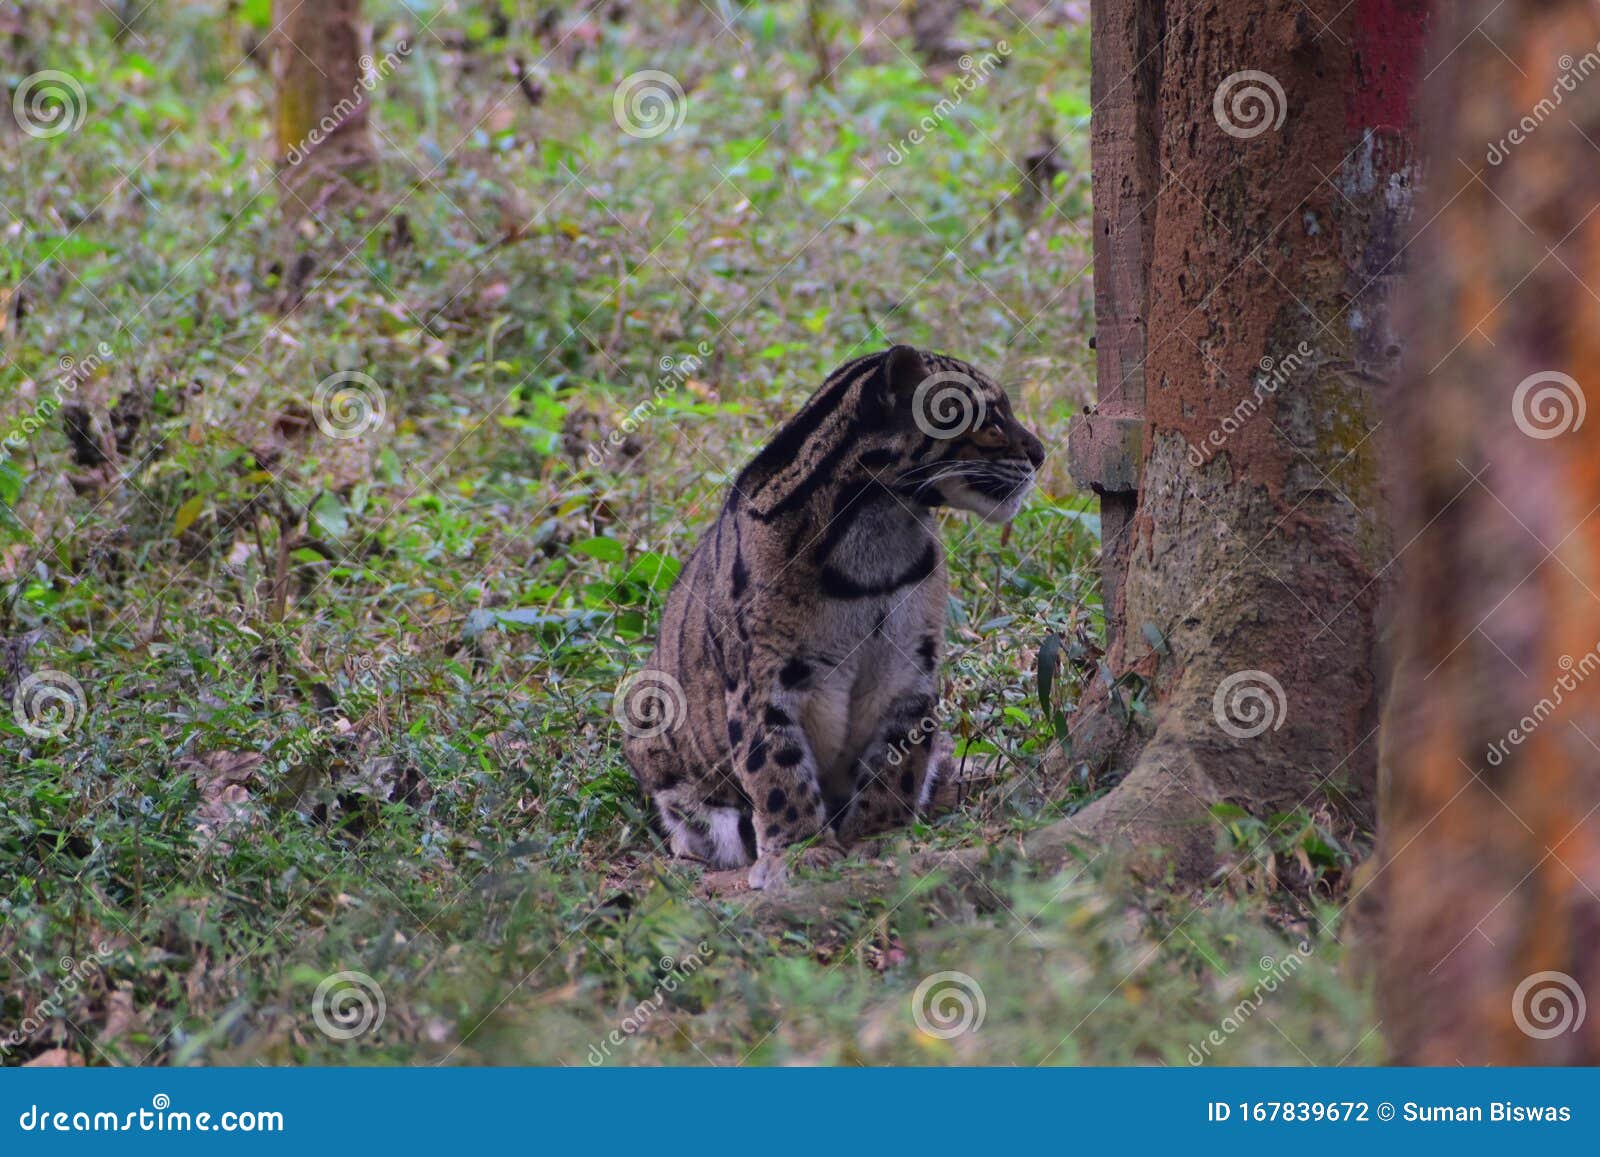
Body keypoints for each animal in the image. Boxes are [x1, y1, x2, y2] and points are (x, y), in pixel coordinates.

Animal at [620, 345, 1045, 890]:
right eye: (990, 419)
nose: (1042, 454)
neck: (880, 522)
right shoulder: (764, 681)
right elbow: (776, 768)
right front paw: (800, 851)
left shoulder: (909, 666)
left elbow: (900, 760)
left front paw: (880, 835)